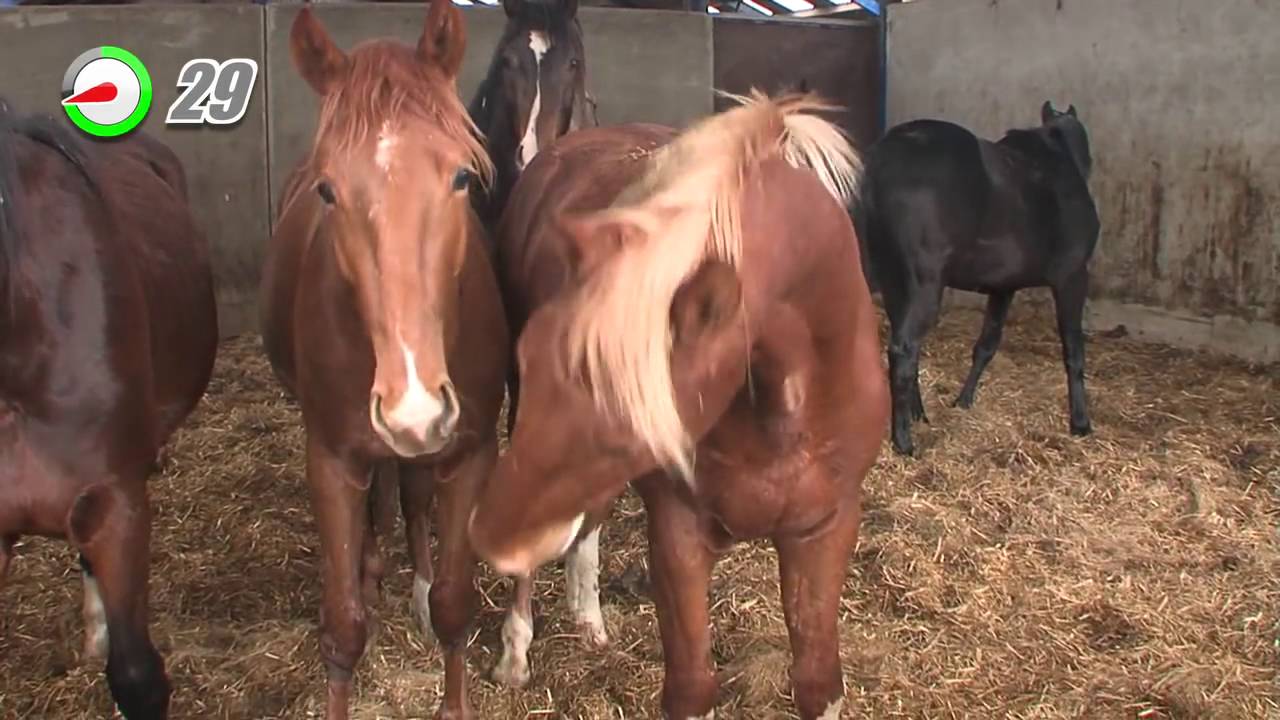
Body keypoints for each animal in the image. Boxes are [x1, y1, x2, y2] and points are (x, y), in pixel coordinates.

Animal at [257, 3, 507, 718]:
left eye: (461, 176)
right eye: (328, 190)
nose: (412, 406)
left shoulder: (469, 454)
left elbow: (454, 604)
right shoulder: (331, 459)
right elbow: (343, 627)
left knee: (413, 500)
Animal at [467, 91, 889, 720]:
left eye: (631, 415)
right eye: (532, 355)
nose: (491, 540)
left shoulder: (824, 528)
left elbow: (817, 681)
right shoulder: (677, 529)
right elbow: (691, 685)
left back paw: (588, 617)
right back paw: (517, 650)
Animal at [854, 101, 1098, 456]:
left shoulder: (1003, 288)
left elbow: (986, 345)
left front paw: (963, 400)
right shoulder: (1072, 279)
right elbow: (1074, 352)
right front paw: (1080, 423)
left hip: (894, 285)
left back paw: (917, 414)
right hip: (922, 286)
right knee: (904, 349)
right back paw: (904, 441)